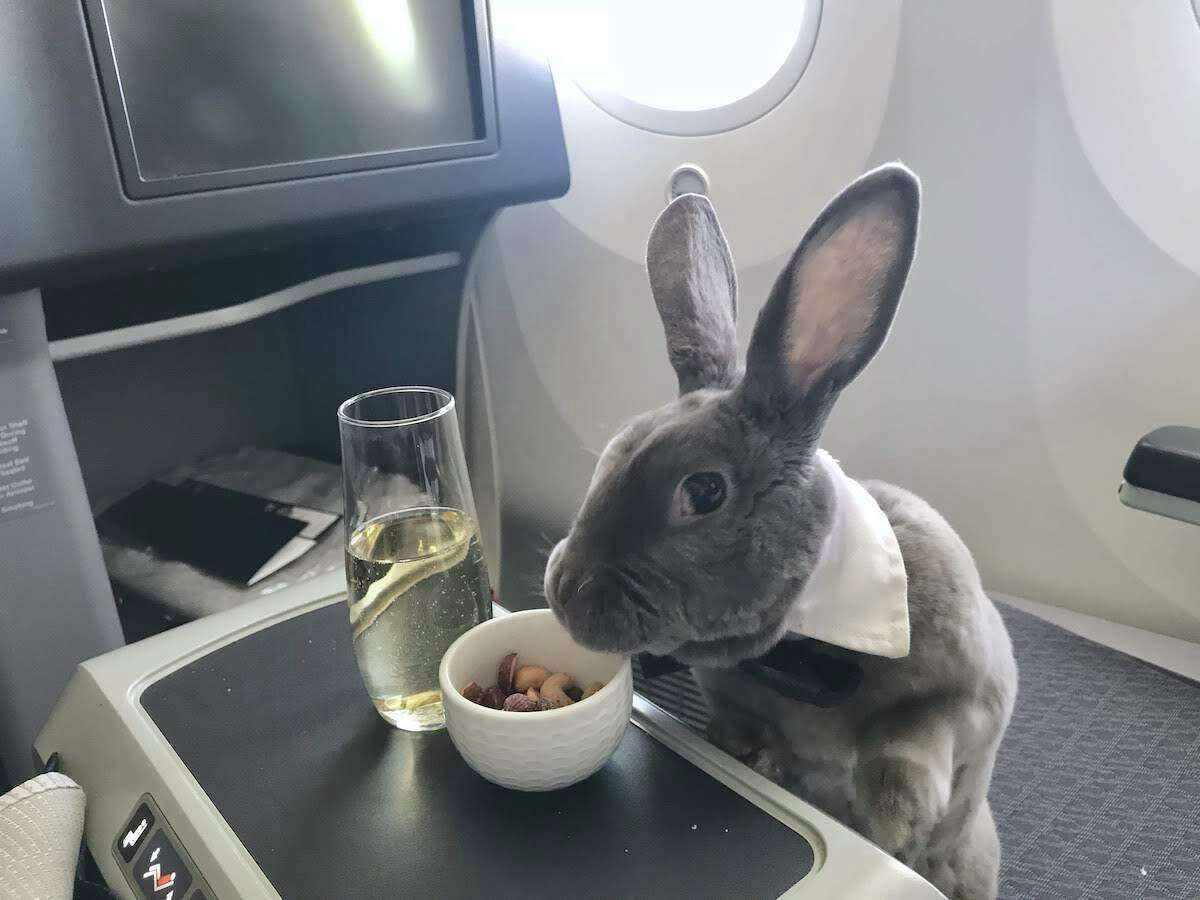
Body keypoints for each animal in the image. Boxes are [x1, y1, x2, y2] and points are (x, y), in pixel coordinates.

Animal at [544, 164, 1018, 900]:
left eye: (704, 492)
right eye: (613, 453)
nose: (564, 593)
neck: (800, 639)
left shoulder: (974, 695)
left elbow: (914, 734)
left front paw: (895, 819)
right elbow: (746, 730)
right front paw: (753, 758)